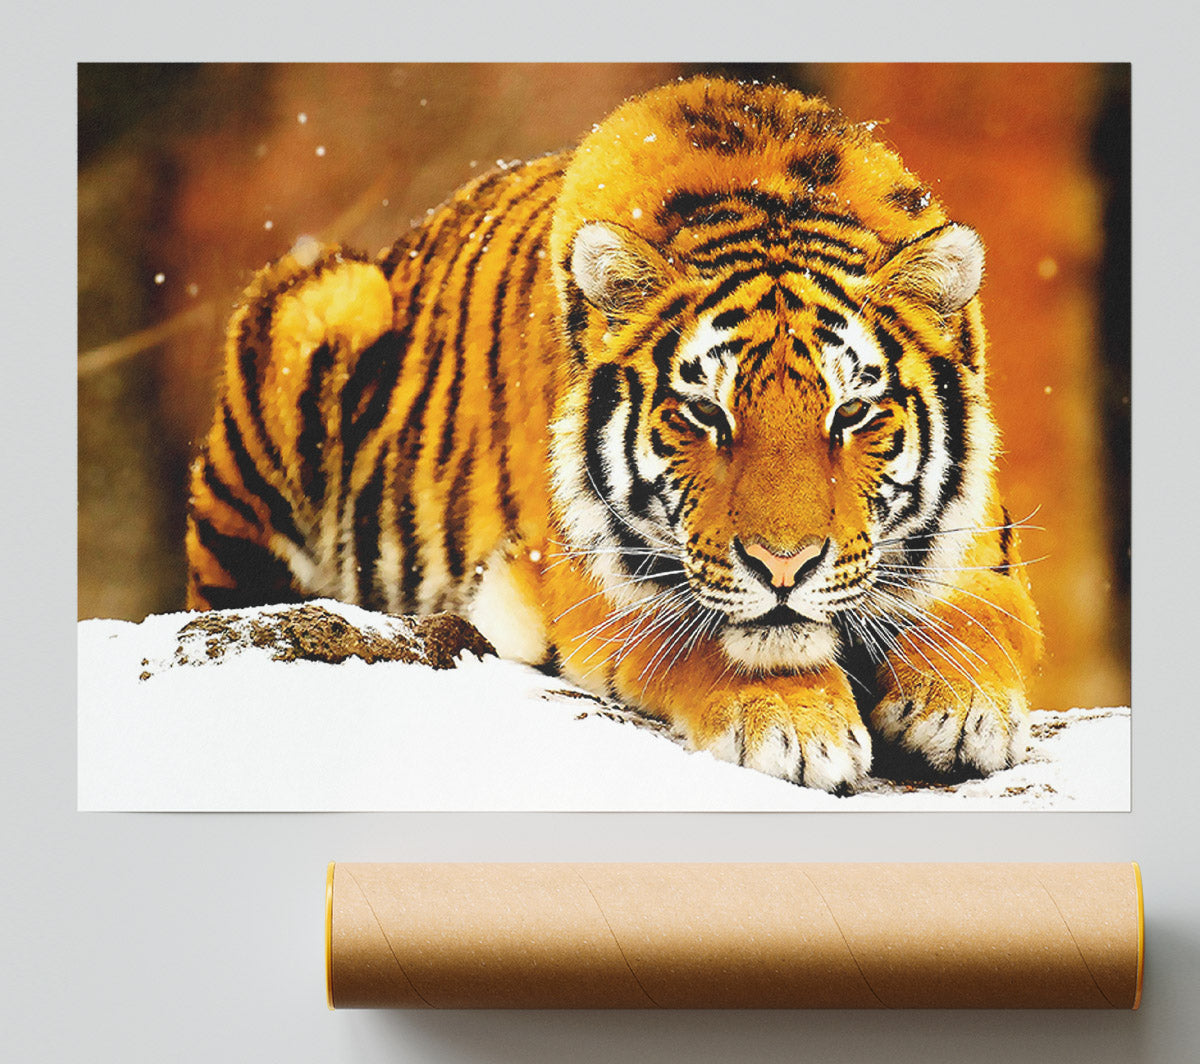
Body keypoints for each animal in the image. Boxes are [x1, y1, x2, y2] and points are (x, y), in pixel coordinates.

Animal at [185, 77, 1042, 793]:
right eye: (706, 414)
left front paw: (960, 705)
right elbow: (700, 633)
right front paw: (795, 724)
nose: (783, 567)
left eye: (851, 413)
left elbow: (979, 613)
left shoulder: (982, 544)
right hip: (323, 304)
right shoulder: (583, 574)